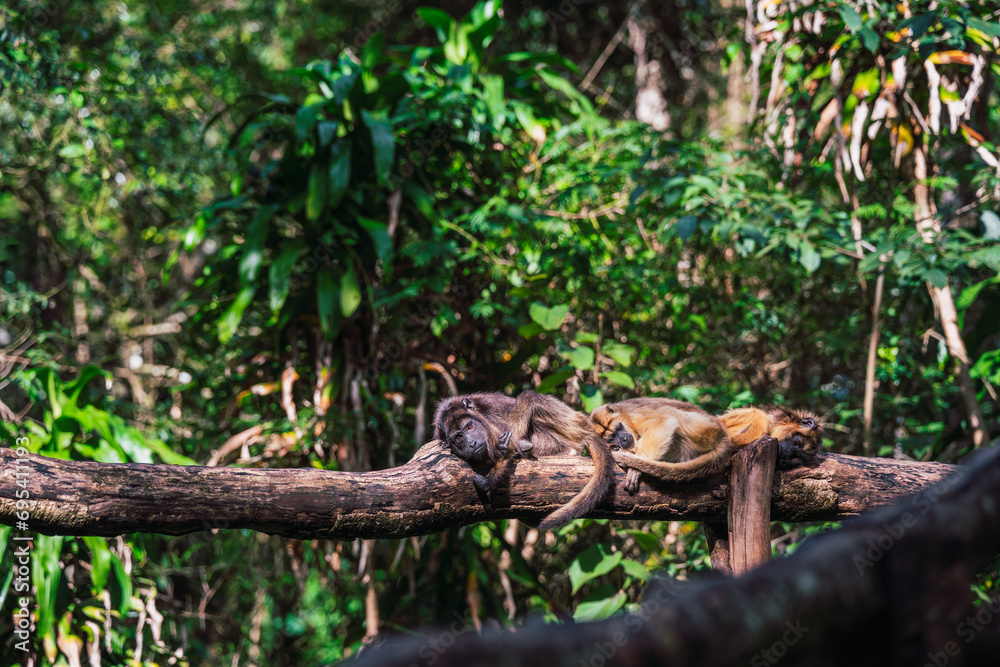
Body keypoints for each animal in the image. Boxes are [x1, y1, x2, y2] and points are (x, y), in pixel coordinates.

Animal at [433, 391, 616, 530]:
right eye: (458, 437)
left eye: (469, 427)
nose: (472, 443)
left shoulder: (493, 405)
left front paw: (491, 475)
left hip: (575, 427)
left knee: (529, 396)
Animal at [590, 398, 732, 495]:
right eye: (612, 438)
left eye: (619, 428)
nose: (624, 440)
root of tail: (722, 435)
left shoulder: (634, 415)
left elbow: (663, 422)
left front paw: (635, 467)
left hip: (702, 428)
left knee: (666, 411)